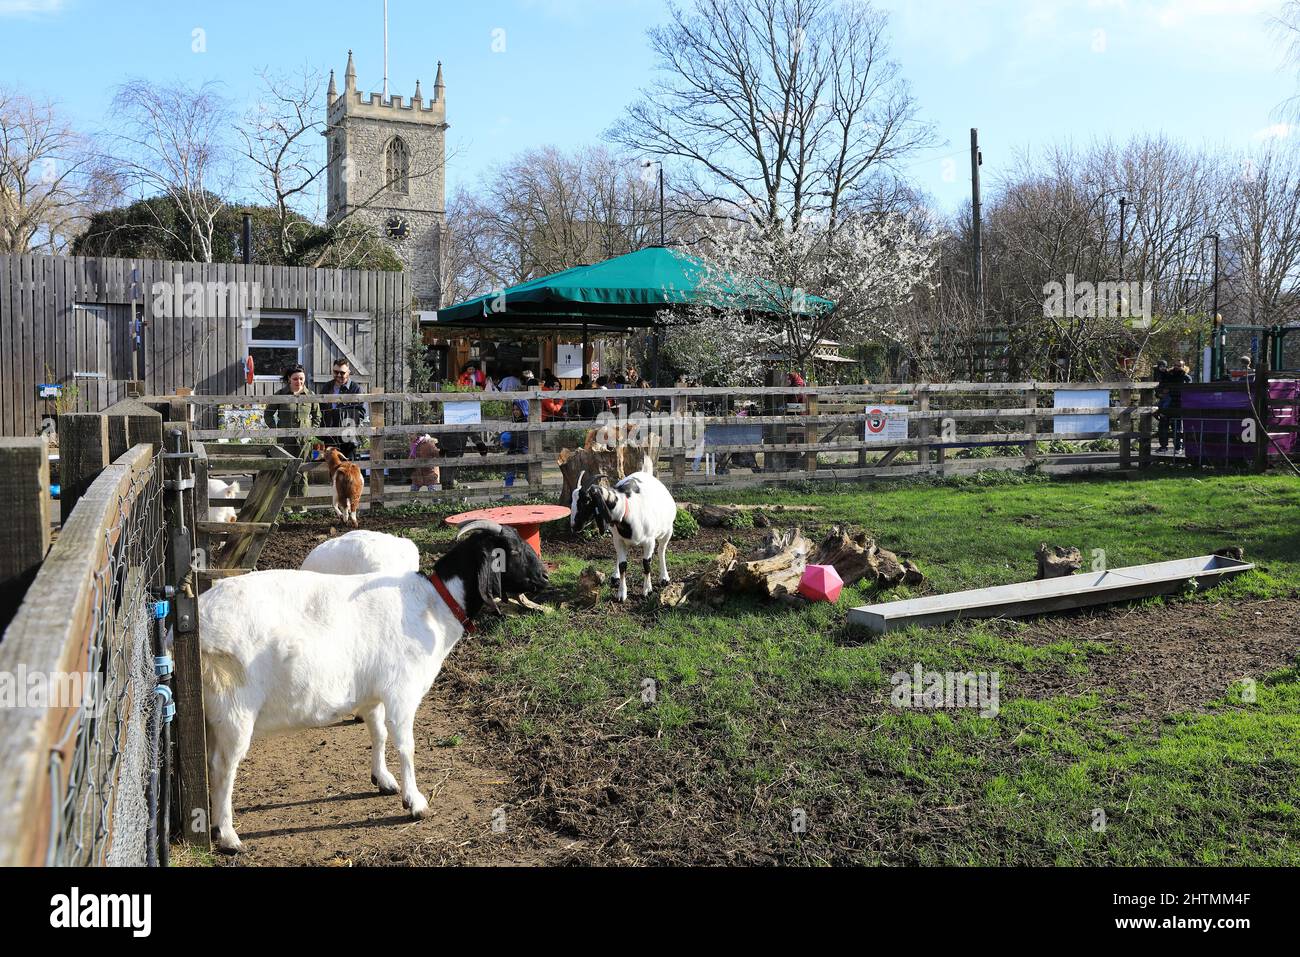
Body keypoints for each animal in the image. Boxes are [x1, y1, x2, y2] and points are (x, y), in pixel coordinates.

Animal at [198, 519, 548, 853]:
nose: (545, 578)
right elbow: (406, 746)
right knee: (223, 766)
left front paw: (383, 780)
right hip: (234, 707)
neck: (433, 605)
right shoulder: (402, 693)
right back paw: (228, 836)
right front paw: (415, 802)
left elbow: (378, 734)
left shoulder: (374, 694)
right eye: (513, 550)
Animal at [570, 469, 676, 601]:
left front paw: (647, 590)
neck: (626, 509)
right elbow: (622, 565)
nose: (574, 526)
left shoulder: (649, 541)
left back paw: (664, 577)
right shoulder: (619, 540)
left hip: (667, 531)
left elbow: (646, 564)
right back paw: (615, 577)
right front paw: (621, 593)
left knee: (661, 550)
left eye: (587, 500)